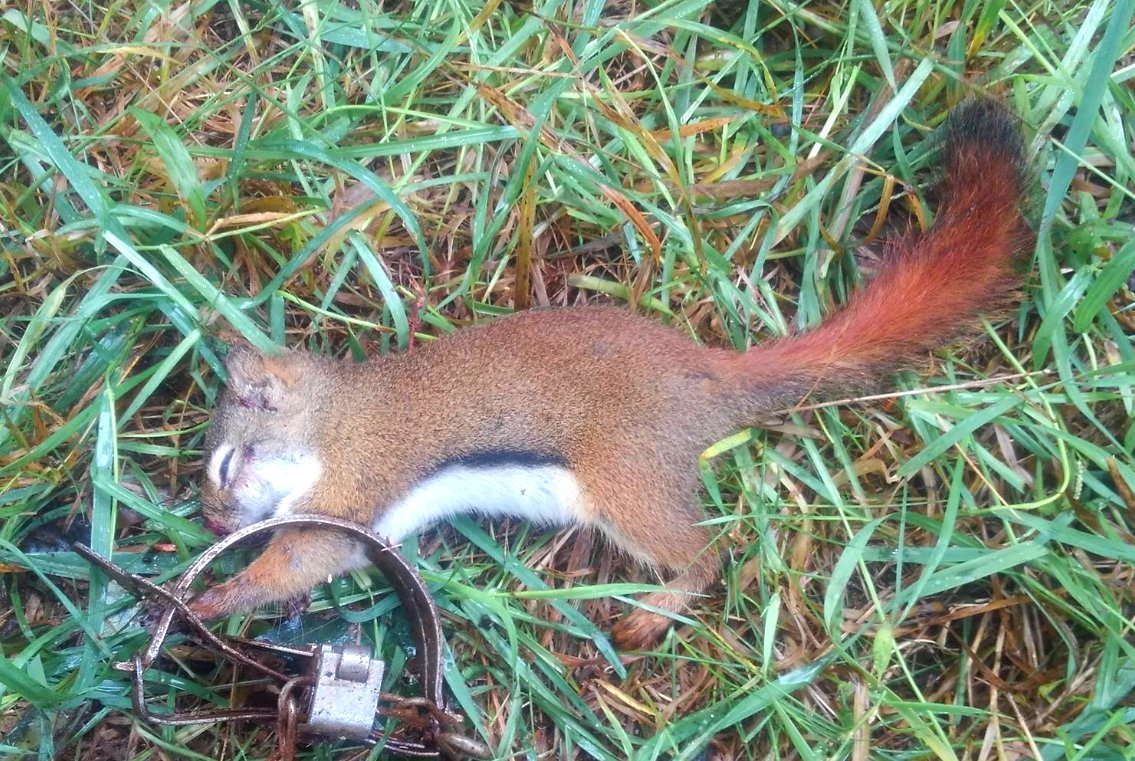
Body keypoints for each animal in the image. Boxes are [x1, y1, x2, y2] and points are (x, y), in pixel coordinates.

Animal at [190, 100, 1031, 649]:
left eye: (227, 461)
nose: (212, 522)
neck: (331, 420)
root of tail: (706, 374)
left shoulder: (353, 483)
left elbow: (303, 558)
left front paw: (209, 596)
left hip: (627, 480)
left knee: (707, 555)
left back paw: (654, 608)